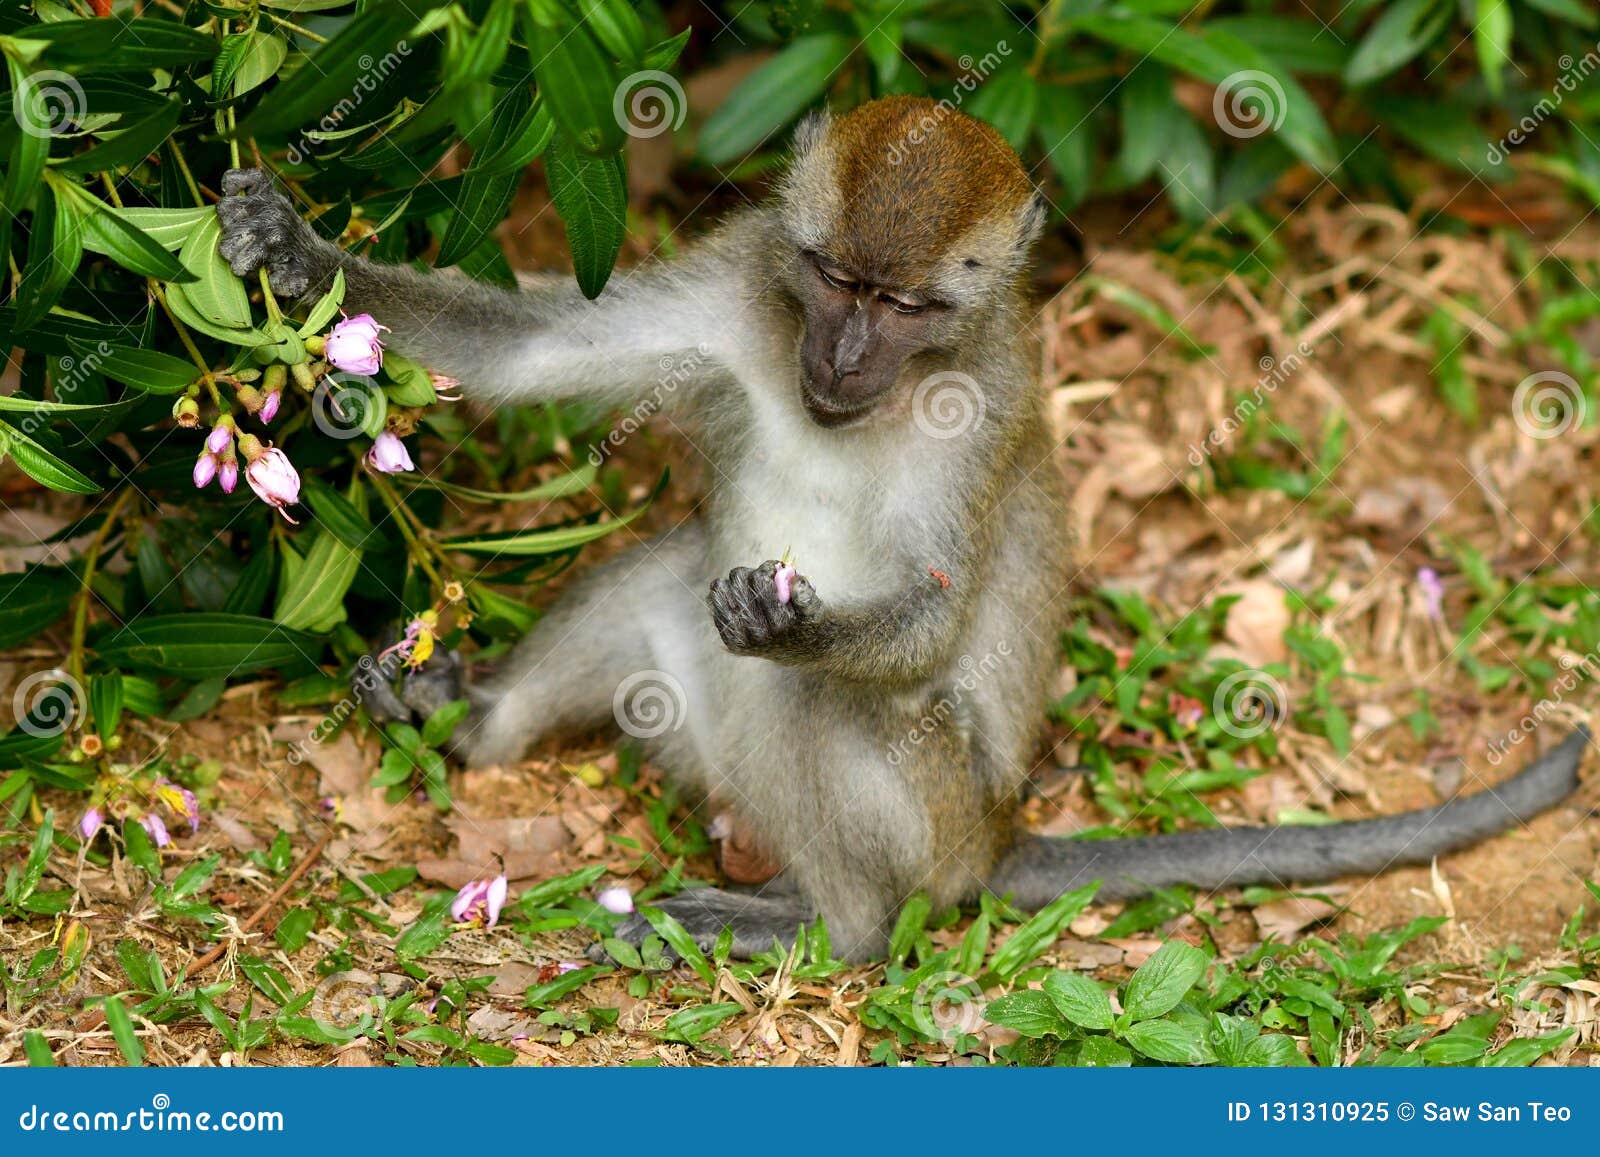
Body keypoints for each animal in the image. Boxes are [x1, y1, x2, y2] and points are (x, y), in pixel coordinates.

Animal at [216, 95, 1590, 963]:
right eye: (834, 280)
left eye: (911, 305)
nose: (839, 356)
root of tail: (994, 840)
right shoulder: (742, 283)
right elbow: (528, 352)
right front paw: (291, 250)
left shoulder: (973, 407)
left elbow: (923, 620)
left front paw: (798, 623)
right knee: (663, 581)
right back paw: (475, 721)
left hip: (933, 820)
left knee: (829, 702)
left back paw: (840, 925)